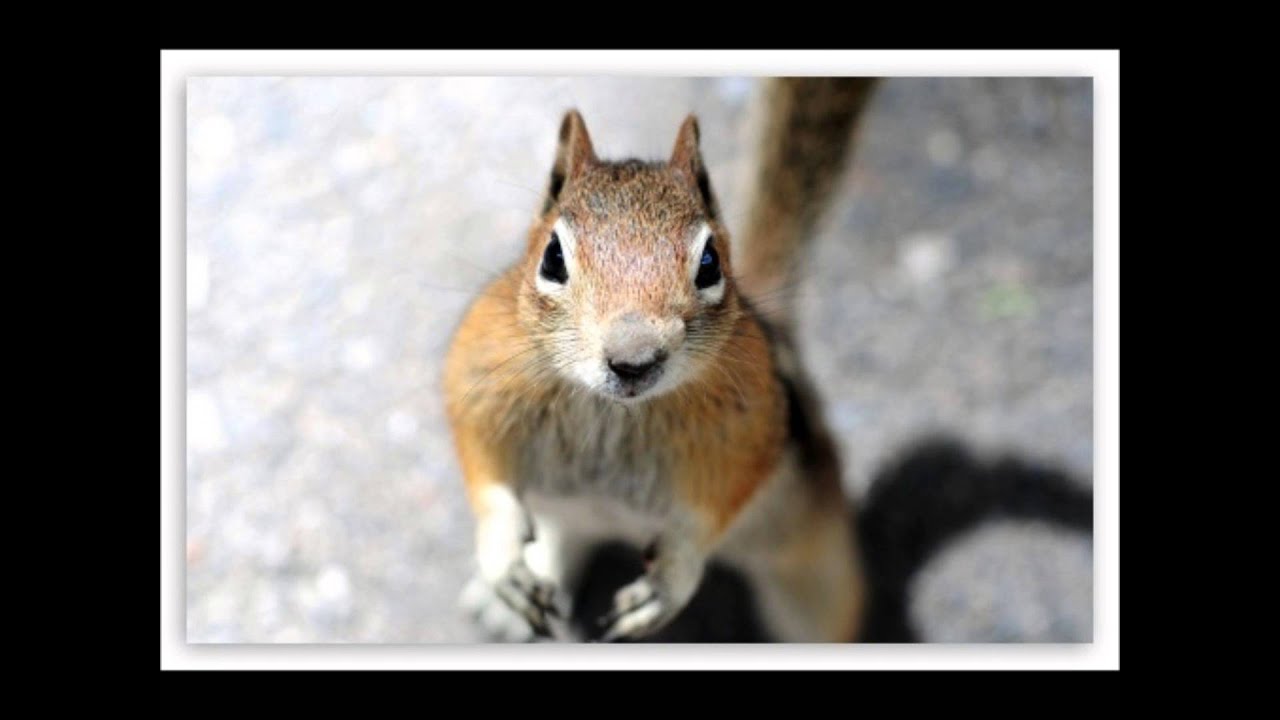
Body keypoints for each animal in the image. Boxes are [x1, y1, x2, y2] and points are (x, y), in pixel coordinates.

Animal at [444, 78, 878, 642]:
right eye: (552, 257)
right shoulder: (479, 380)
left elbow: (707, 517)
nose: (633, 360)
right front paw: (501, 562)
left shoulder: (749, 433)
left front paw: (670, 581)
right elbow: (488, 480)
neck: (613, 412)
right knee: (564, 531)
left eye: (710, 262)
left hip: (815, 569)